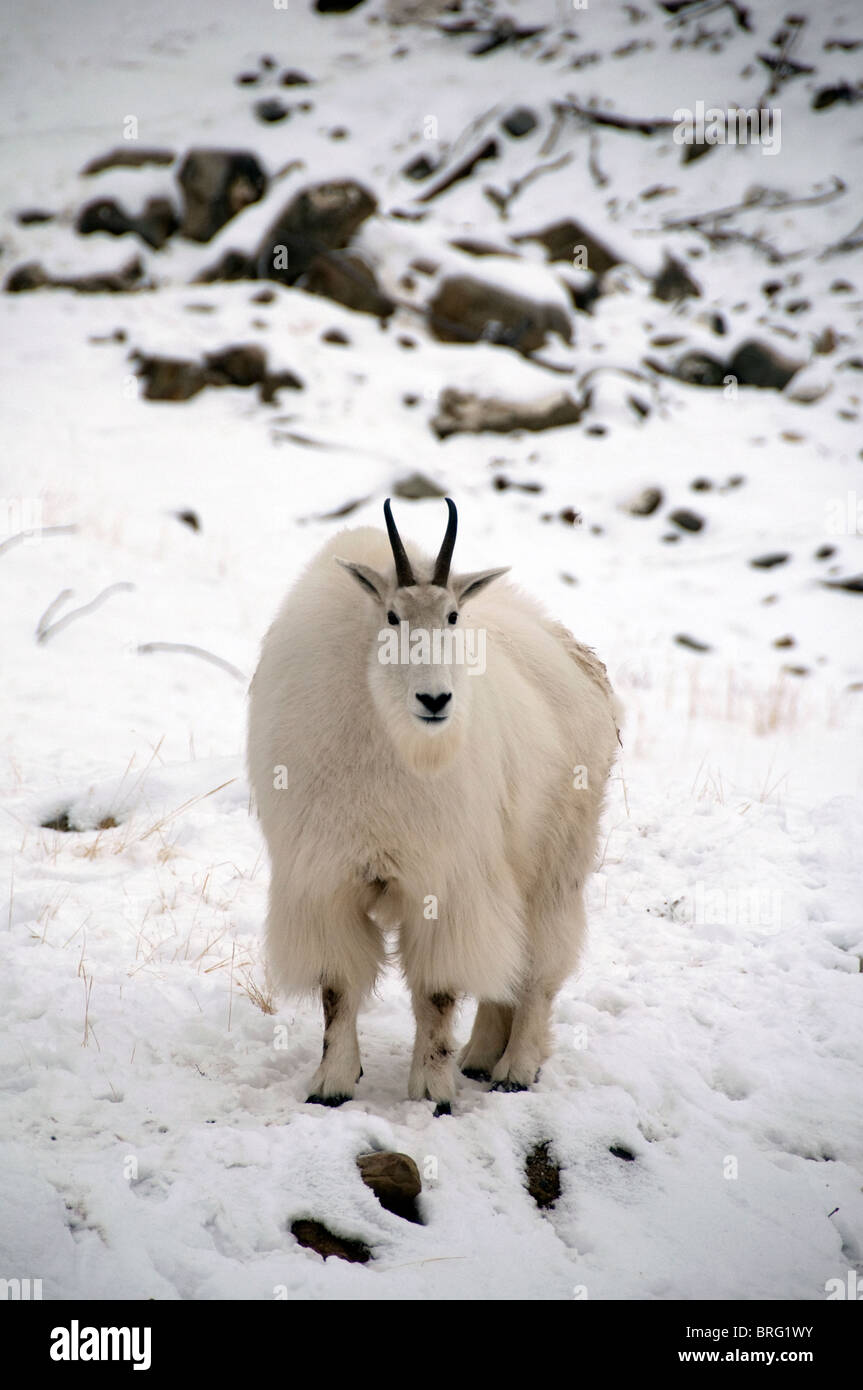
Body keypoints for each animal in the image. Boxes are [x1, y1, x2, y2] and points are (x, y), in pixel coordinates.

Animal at [247, 499, 619, 1112]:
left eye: (452, 616)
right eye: (392, 617)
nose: (435, 699)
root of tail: (577, 657)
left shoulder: (446, 884)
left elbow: (438, 992)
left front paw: (432, 1092)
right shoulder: (327, 882)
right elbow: (337, 989)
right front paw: (332, 1083)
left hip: (555, 864)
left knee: (538, 968)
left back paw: (515, 1067)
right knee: (508, 968)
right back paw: (480, 1057)